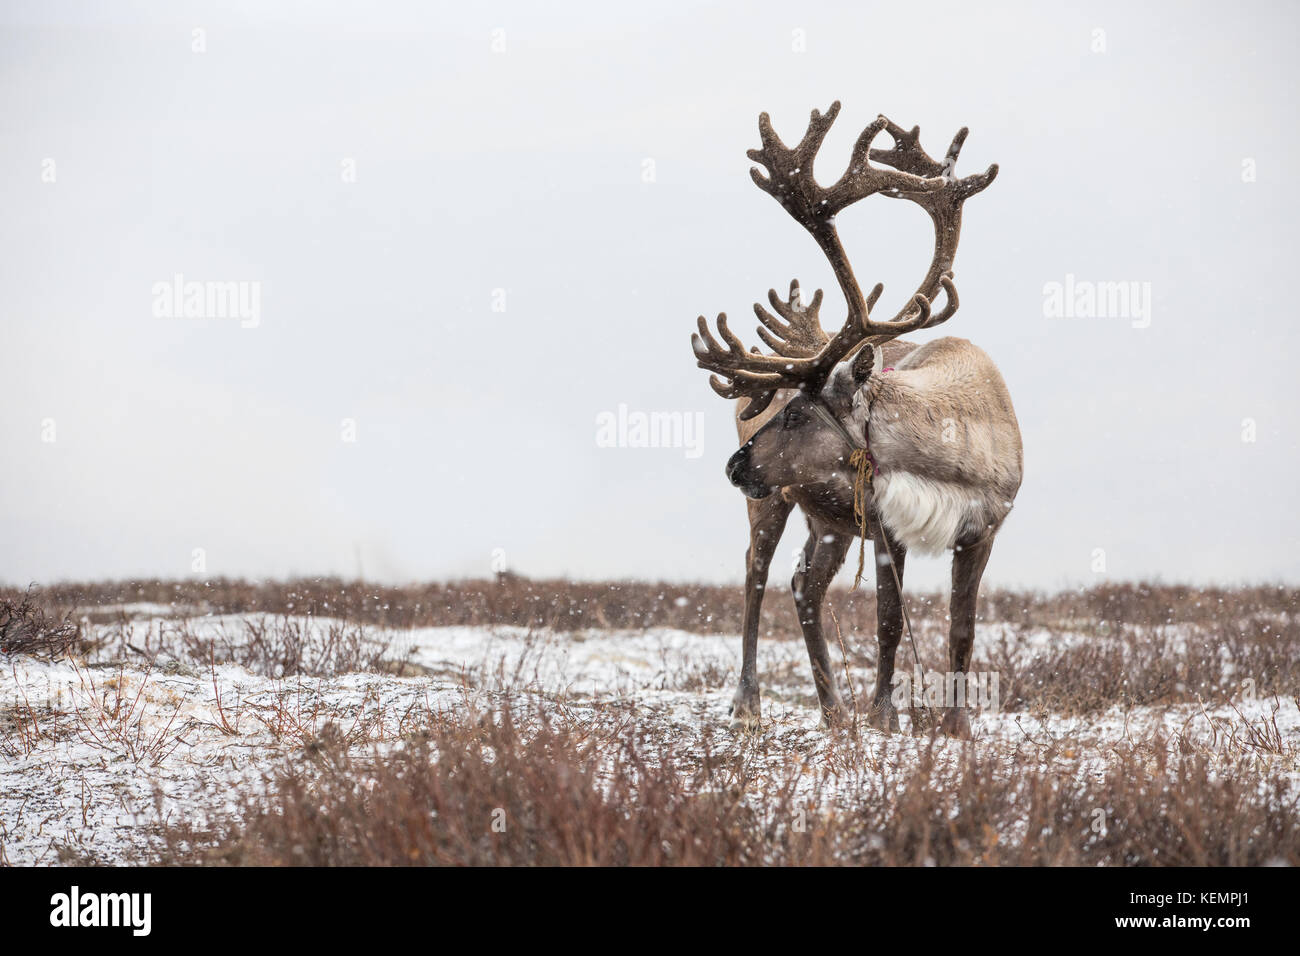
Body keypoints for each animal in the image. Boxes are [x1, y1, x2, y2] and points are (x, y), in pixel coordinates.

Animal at [691, 102, 1022, 739]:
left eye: (798, 413)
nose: (732, 465)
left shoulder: (983, 530)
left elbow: (962, 630)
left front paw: (956, 727)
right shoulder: (889, 528)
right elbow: (889, 622)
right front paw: (884, 716)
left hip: (831, 522)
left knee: (804, 585)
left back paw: (832, 708)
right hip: (773, 501)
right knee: (756, 574)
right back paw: (750, 702)